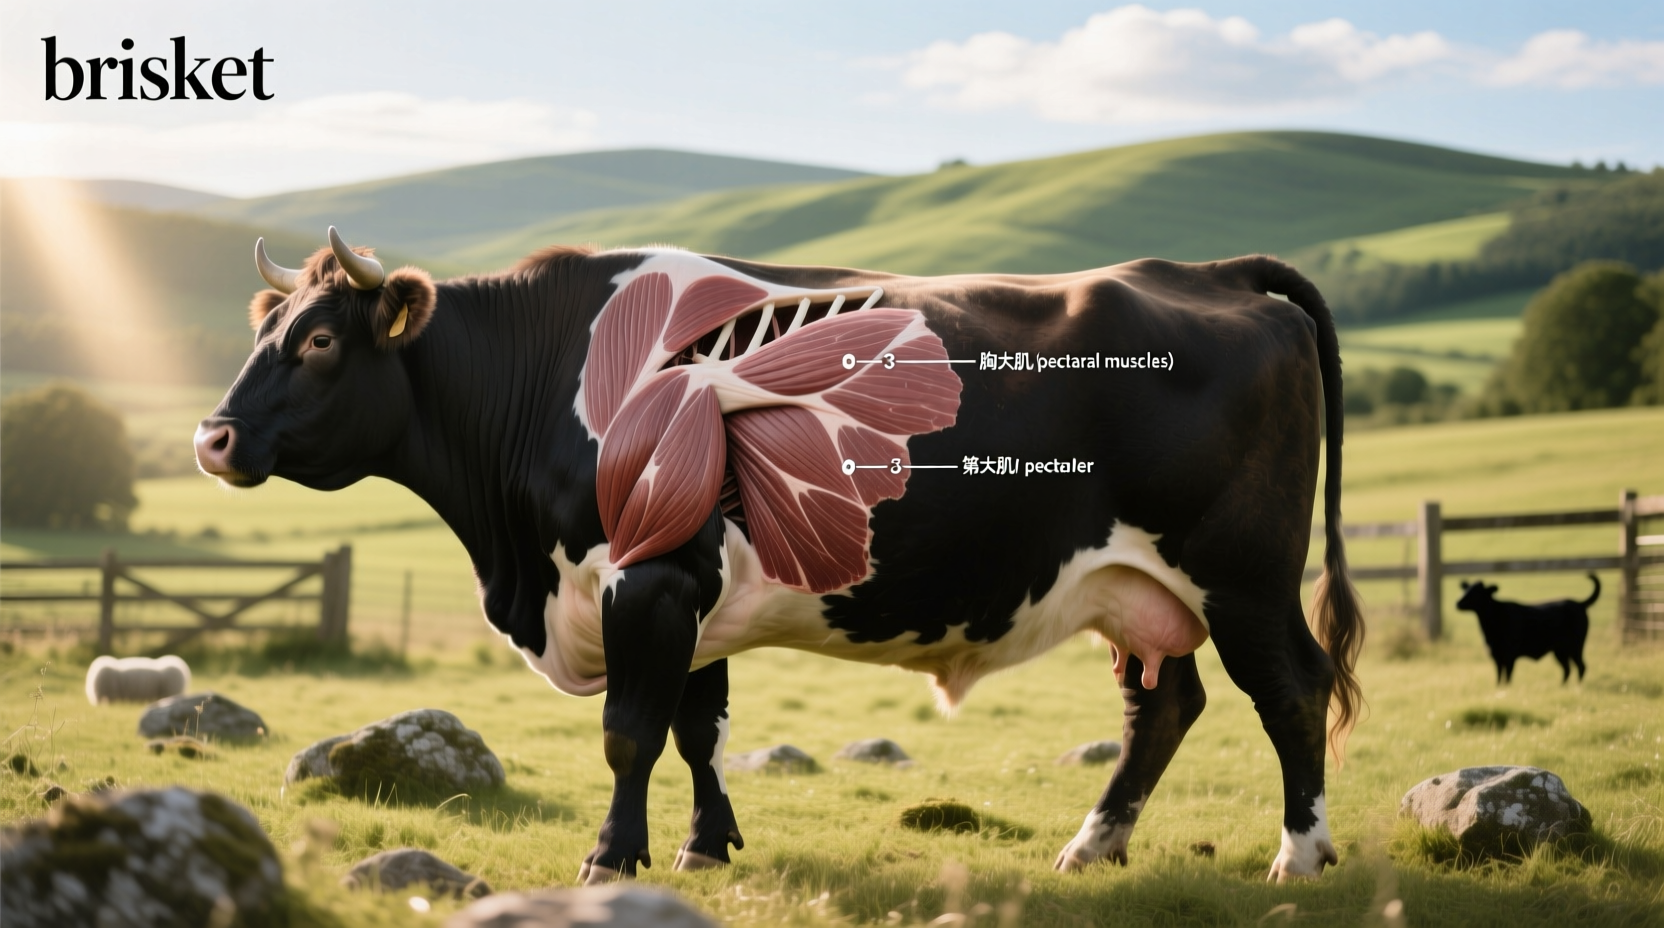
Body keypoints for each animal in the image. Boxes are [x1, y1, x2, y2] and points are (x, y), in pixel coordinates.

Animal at [195, 228, 1363, 884]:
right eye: (265, 332)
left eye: (319, 341)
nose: (213, 438)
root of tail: (1207, 272)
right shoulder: (685, 596)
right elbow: (697, 732)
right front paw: (704, 846)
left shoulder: (648, 578)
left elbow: (631, 732)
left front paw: (609, 855)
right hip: (1134, 589)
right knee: (1162, 707)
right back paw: (1091, 847)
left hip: (1242, 575)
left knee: (1292, 692)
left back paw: (1297, 857)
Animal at [1457, 575, 1595, 684]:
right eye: (1465, 590)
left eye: (1477, 592)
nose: (1458, 603)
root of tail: (1580, 604)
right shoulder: (1496, 656)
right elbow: (1499, 678)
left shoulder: (1509, 655)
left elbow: (1508, 678)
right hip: (1560, 651)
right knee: (1567, 669)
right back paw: (1562, 686)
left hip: (1576, 646)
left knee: (1581, 666)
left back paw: (1578, 687)